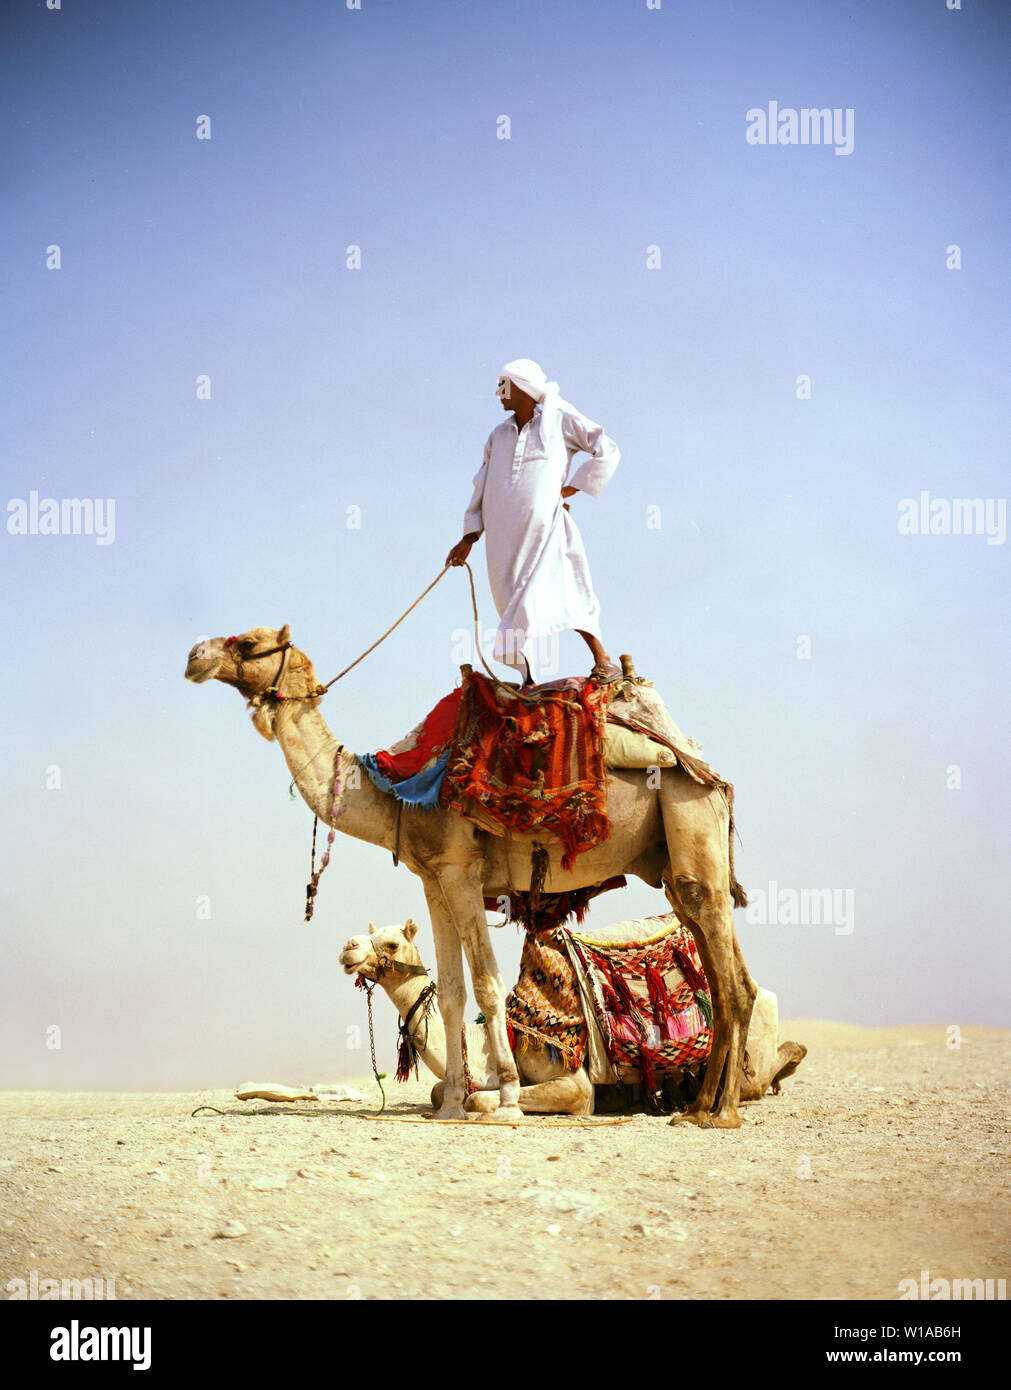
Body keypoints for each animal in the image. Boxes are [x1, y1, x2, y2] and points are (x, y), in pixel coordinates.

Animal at [185, 624, 759, 1127]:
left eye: (248, 642)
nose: (194, 656)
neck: (400, 794)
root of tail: (702, 764)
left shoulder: (462, 869)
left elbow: (486, 984)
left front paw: (505, 1101)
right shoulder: (433, 878)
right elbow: (453, 990)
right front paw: (452, 1106)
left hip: (687, 810)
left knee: (726, 968)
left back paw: (722, 1114)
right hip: (667, 855)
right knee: (718, 960)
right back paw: (697, 1107)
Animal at [339, 920, 807, 1115]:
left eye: (392, 943)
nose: (348, 947)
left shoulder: (572, 1081)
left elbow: (479, 1098)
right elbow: (442, 1093)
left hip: (748, 1049)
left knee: (759, 1073)